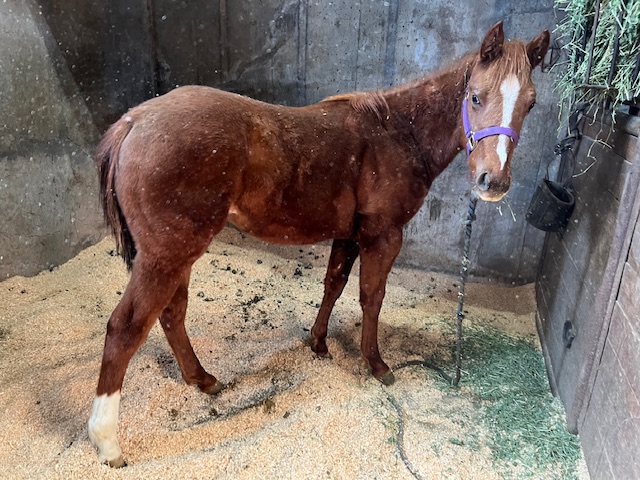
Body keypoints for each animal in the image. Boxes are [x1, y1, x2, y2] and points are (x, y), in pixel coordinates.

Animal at [88, 21, 549, 466]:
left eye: (531, 104)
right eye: (476, 96)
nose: (494, 182)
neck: (397, 133)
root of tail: (133, 122)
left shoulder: (349, 234)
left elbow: (334, 283)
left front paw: (319, 342)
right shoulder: (383, 235)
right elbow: (371, 297)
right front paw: (376, 364)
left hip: (176, 253)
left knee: (171, 315)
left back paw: (202, 380)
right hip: (167, 254)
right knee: (125, 329)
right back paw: (108, 444)